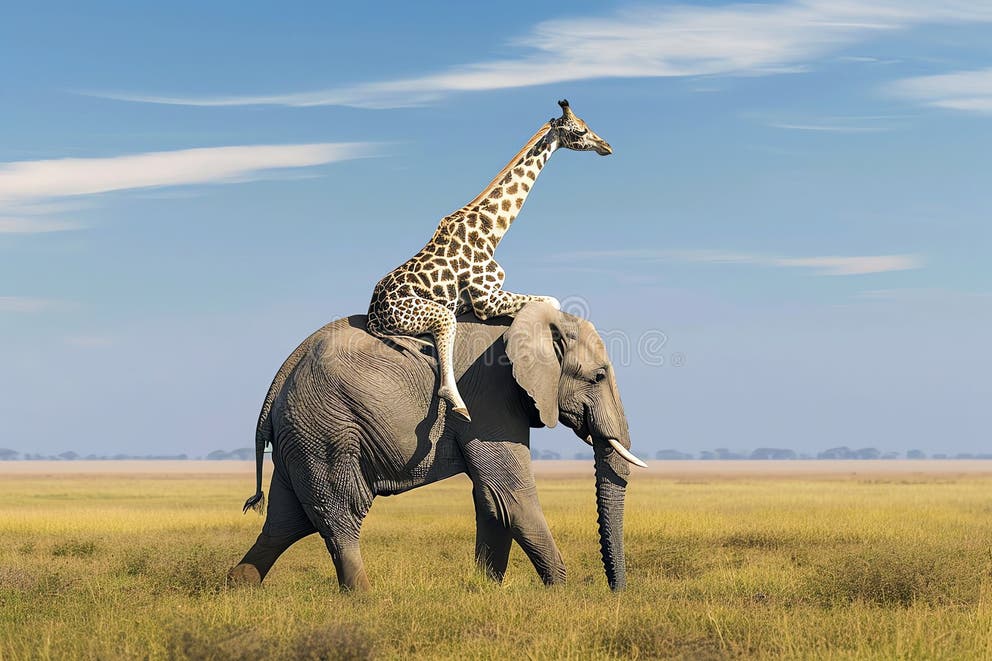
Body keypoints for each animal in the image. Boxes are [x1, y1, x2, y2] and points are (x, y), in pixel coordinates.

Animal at [228, 302, 647, 592]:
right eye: (598, 376)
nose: (616, 593)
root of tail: (278, 380)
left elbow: (491, 501)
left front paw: (487, 590)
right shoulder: (488, 396)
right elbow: (509, 496)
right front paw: (561, 593)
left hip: (301, 436)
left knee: (286, 522)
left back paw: (239, 585)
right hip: (327, 429)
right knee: (340, 512)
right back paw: (363, 597)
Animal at [367, 100, 612, 421]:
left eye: (587, 123)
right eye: (580, 131)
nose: (606, 146)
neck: (492, 230)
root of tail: (373, 314)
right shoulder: (485, 299)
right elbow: (552, 300)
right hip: (428, 314)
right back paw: (458, 404)